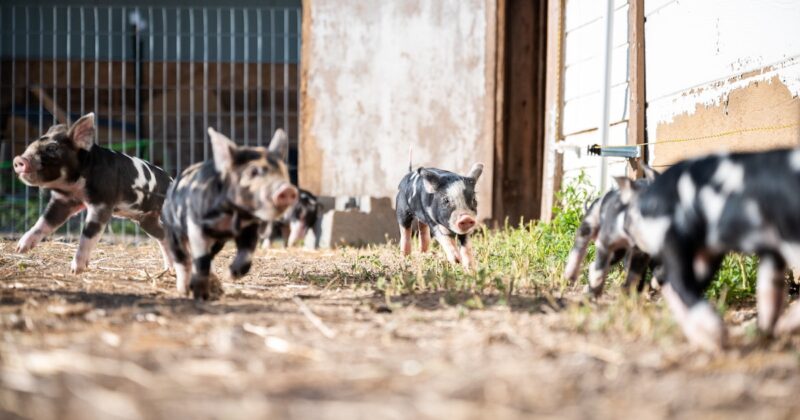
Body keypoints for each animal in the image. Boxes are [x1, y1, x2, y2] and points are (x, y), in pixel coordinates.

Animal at [12, 113, 173, 273]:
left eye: (52, 148)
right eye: (31, 145)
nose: (18, 159)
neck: (75, 187)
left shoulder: (102, 203)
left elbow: (88, 233)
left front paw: (76, 270)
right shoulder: (63, 201)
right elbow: (44, 221)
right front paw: (20, 248)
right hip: (146, 219)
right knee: (163, 235)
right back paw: (169, 268)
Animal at [161, 127, 298, 299]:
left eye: (283, 171)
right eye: (253, 171)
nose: (287, 189)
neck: (233, 214)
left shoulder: (249, 229)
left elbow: (246, 256)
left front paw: (229, 275)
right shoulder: (196, 225)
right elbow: (201, 261)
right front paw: (201, 296)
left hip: (218, 243)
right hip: (172, 229)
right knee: (182, 258)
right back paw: (184, 290)